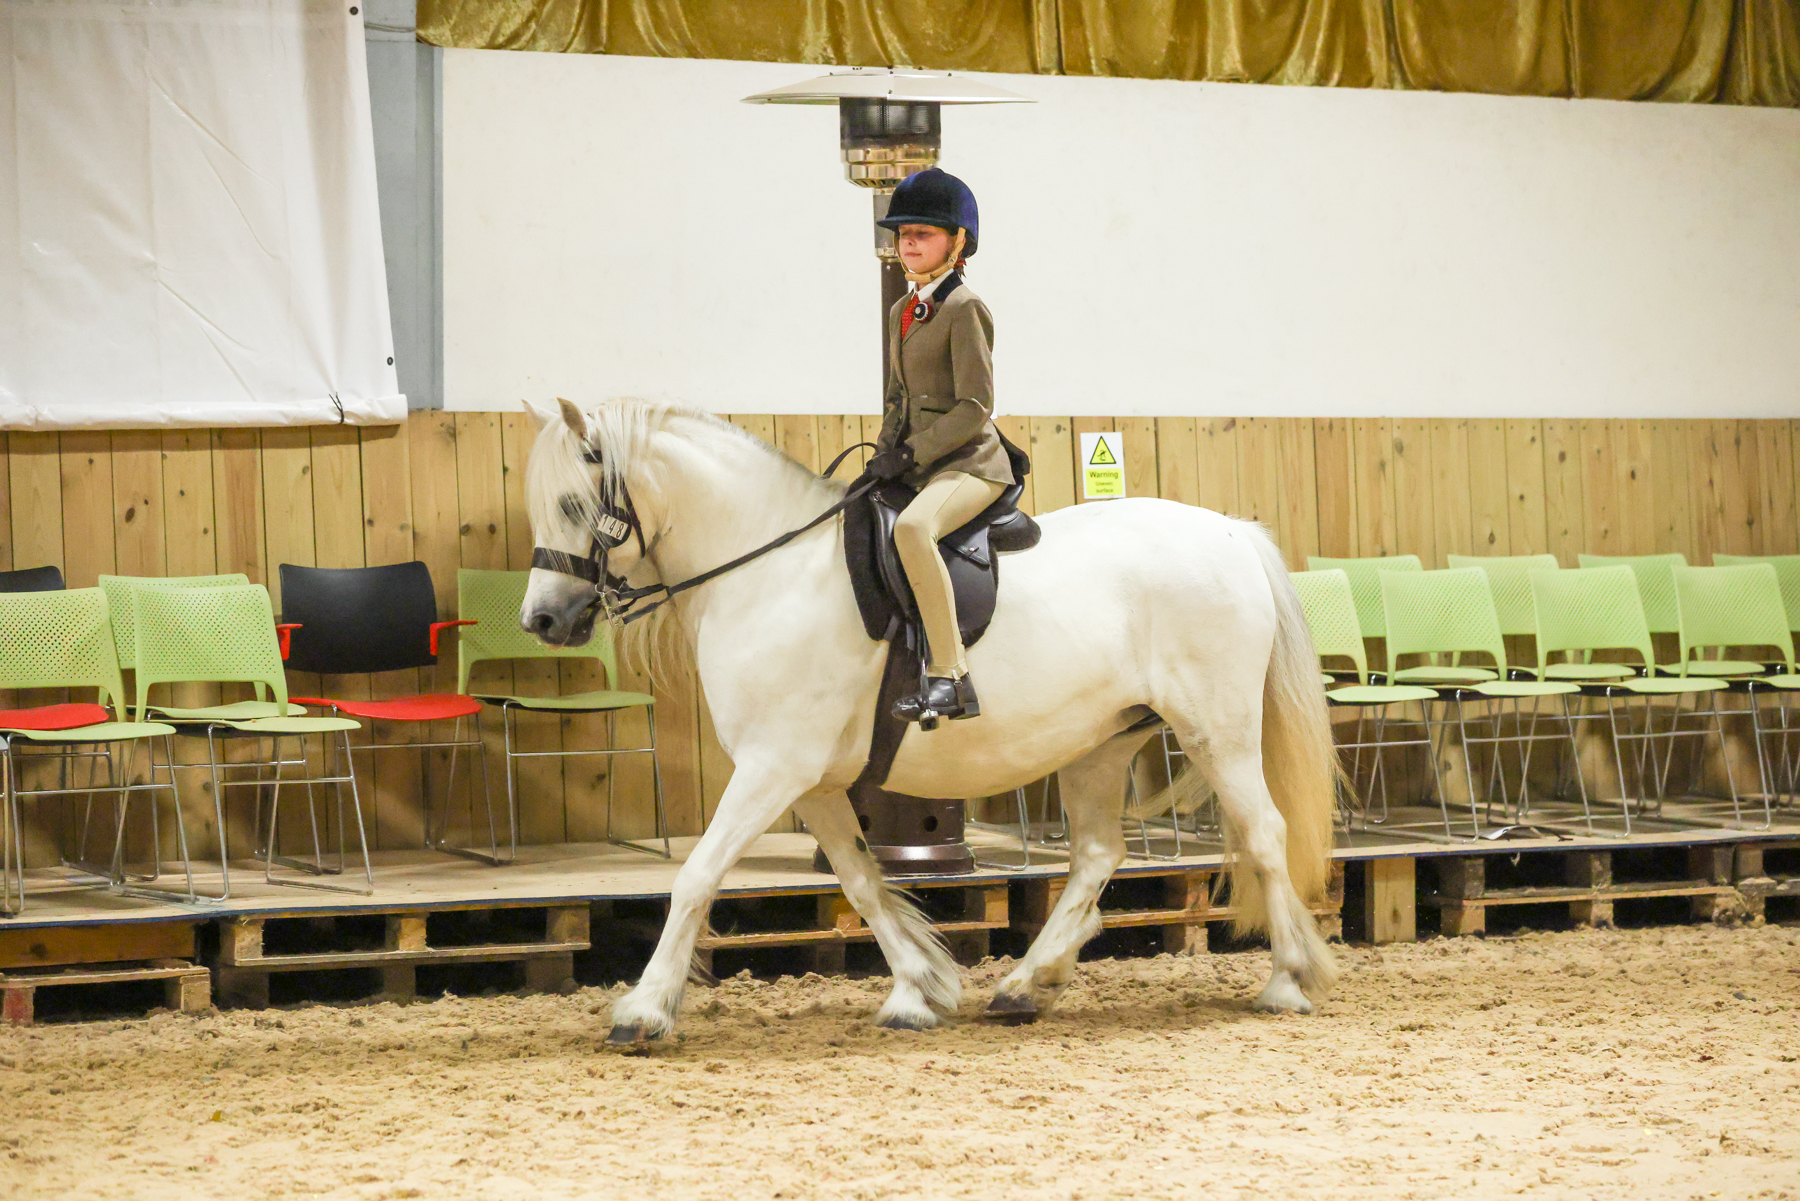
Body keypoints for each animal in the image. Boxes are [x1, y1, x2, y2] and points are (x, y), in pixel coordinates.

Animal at [520, 397, 1339, 1043]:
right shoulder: (812, 781)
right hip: (1102, 743)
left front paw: (644, 1009)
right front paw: (918, 989)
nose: (541, 620)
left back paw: (1287, 980)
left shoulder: (772, 767)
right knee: (1098, 854)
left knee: (1265, 834)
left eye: (572, 505)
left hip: (1216, 733)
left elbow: (696, 875)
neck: (770, 572)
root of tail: (1233, 534)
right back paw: (1026, 984)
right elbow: (860, 882)